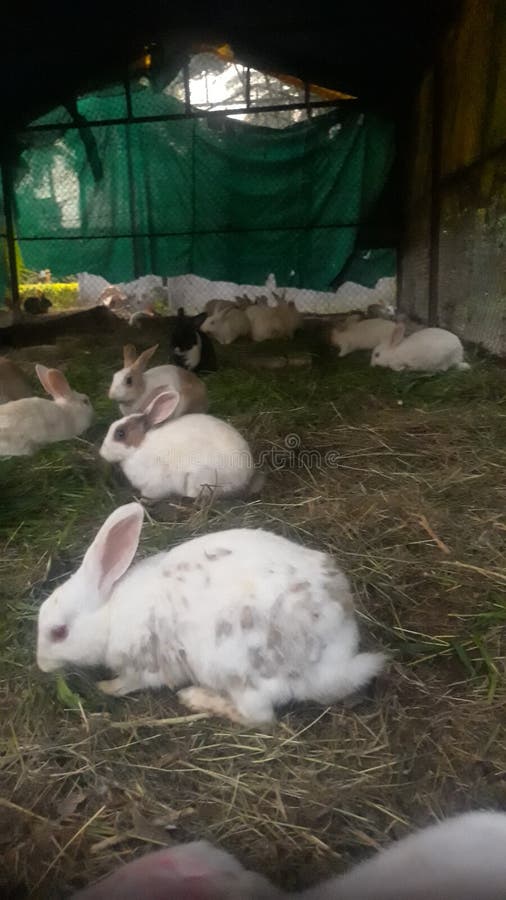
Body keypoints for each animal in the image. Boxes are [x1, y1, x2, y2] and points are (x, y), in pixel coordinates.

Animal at [36, 501, 385, 725]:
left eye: (59, 632)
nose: (41, 665)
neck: (109, 615)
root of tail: (336, 661)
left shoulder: (145, 665)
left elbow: (130, 682)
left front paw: (105, 688)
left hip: (234, 668)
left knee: (260, 718)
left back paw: (196, 698)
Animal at [100, 390, 259, 501]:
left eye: (120, 434)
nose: (102, 453)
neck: (139, 447)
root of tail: (246, 477)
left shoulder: (155, 484)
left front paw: (143, 501)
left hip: (200, 478)